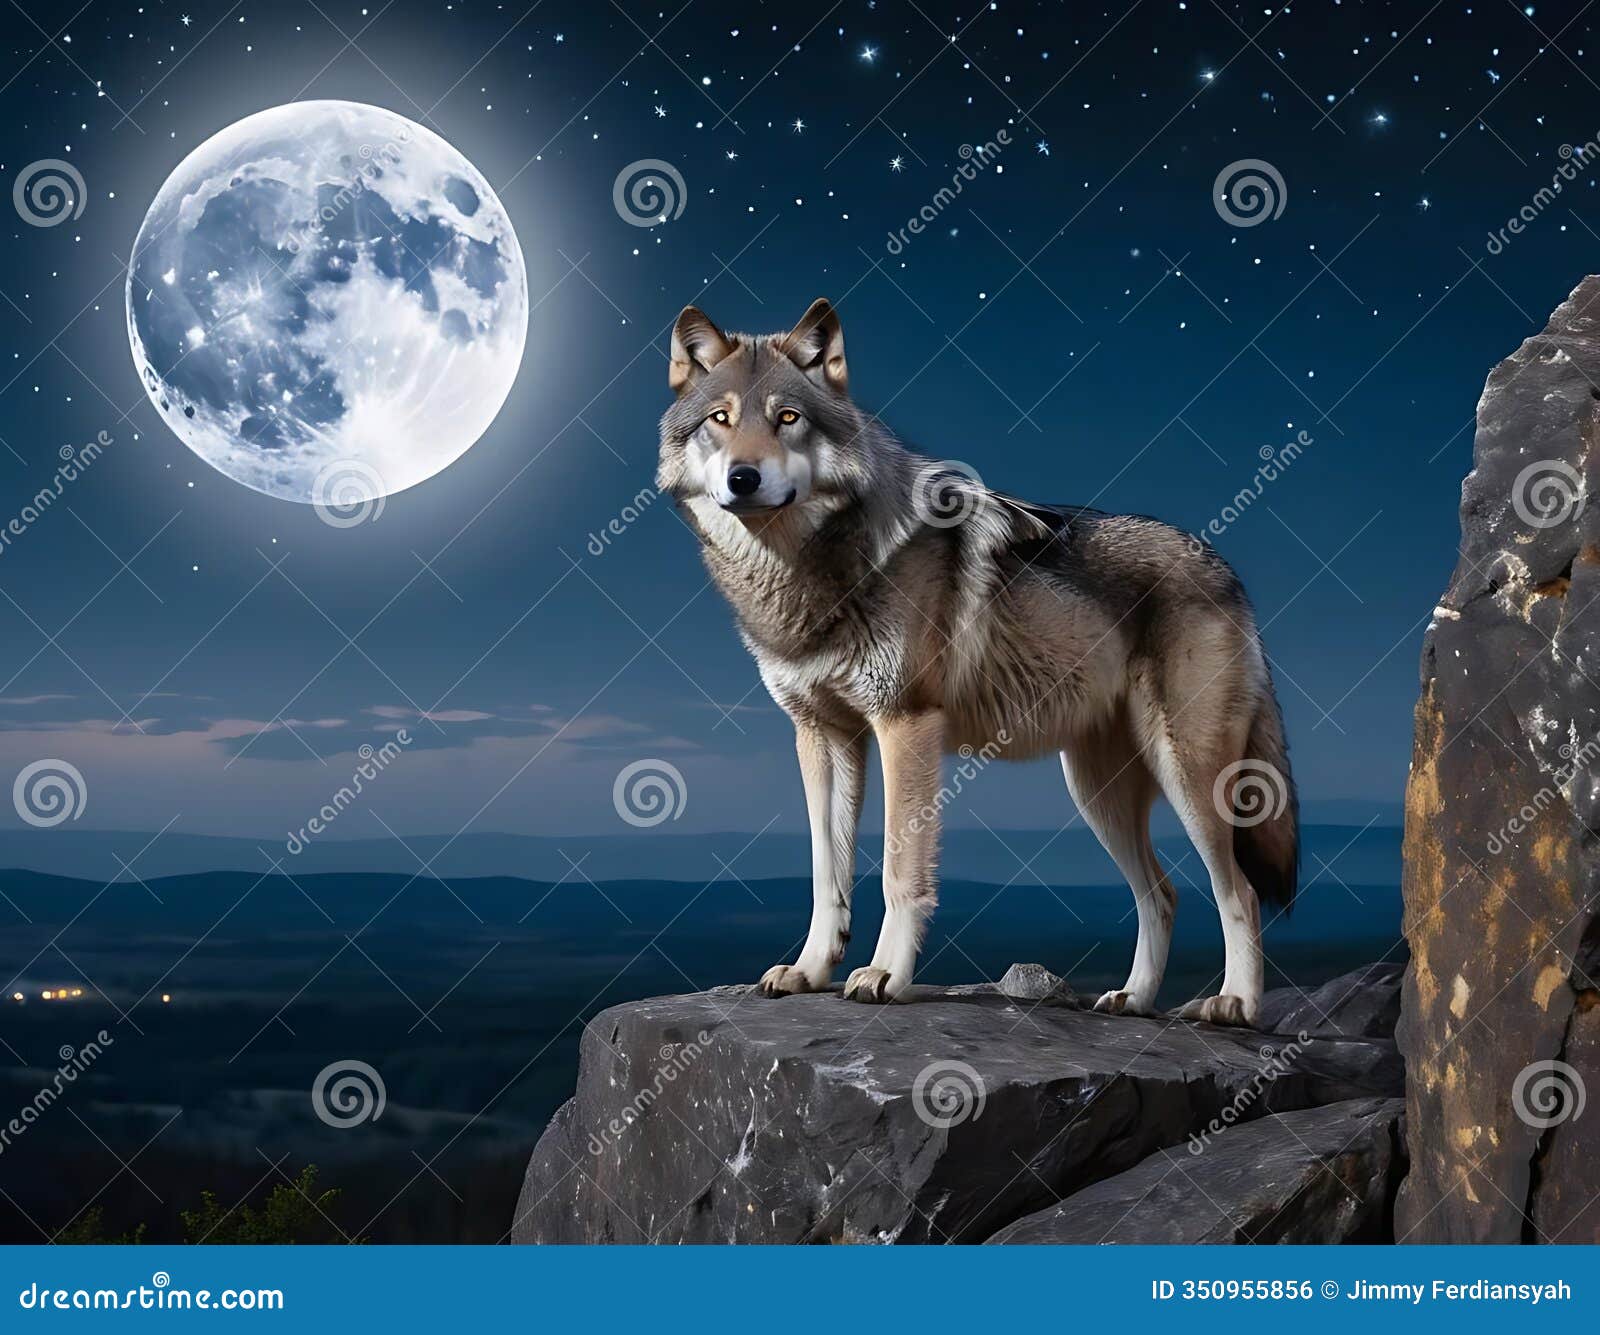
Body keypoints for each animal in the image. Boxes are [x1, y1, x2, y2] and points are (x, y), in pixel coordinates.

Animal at [656, 298, 1298, 1026]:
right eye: (720, 419)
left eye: (787, 418)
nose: (744, 478)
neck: (807, 573)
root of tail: (1227, 569)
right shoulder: (821, 735)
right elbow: (827, 872)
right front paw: (810, 969)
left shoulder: (905, 724)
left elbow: (899, 870)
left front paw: (884, 974)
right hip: (1095, 791)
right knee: (1162, 893)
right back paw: (1132, 998)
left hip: (1190, 778)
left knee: (1238, 891)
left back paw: (1234, 1002)